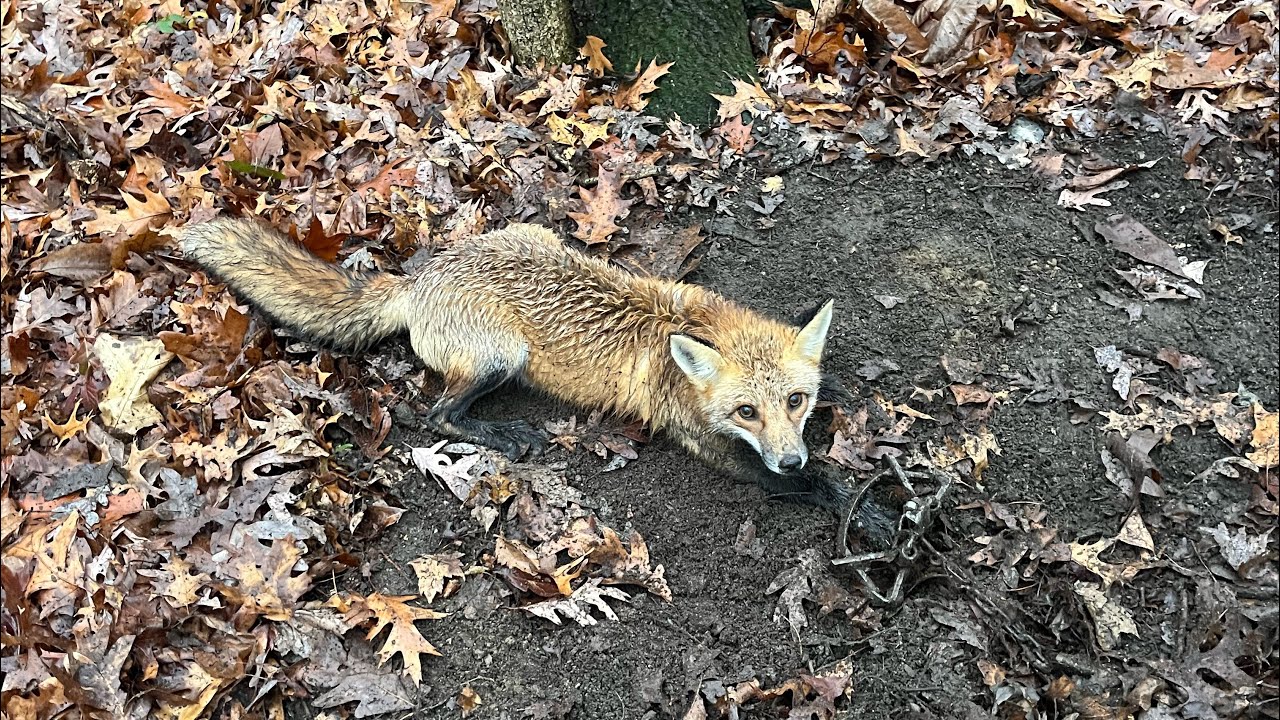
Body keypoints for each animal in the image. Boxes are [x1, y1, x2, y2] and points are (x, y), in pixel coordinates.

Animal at [180, 218, 877, 517]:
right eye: (746, 412)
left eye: (795, 402)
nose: (792, 456)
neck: (690, 331)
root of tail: (418, 278)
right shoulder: (702, 441)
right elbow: (783, 485)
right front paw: (854, 507)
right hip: (501, 356)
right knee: (436, 414)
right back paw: (503, 435)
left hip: (536, 235)